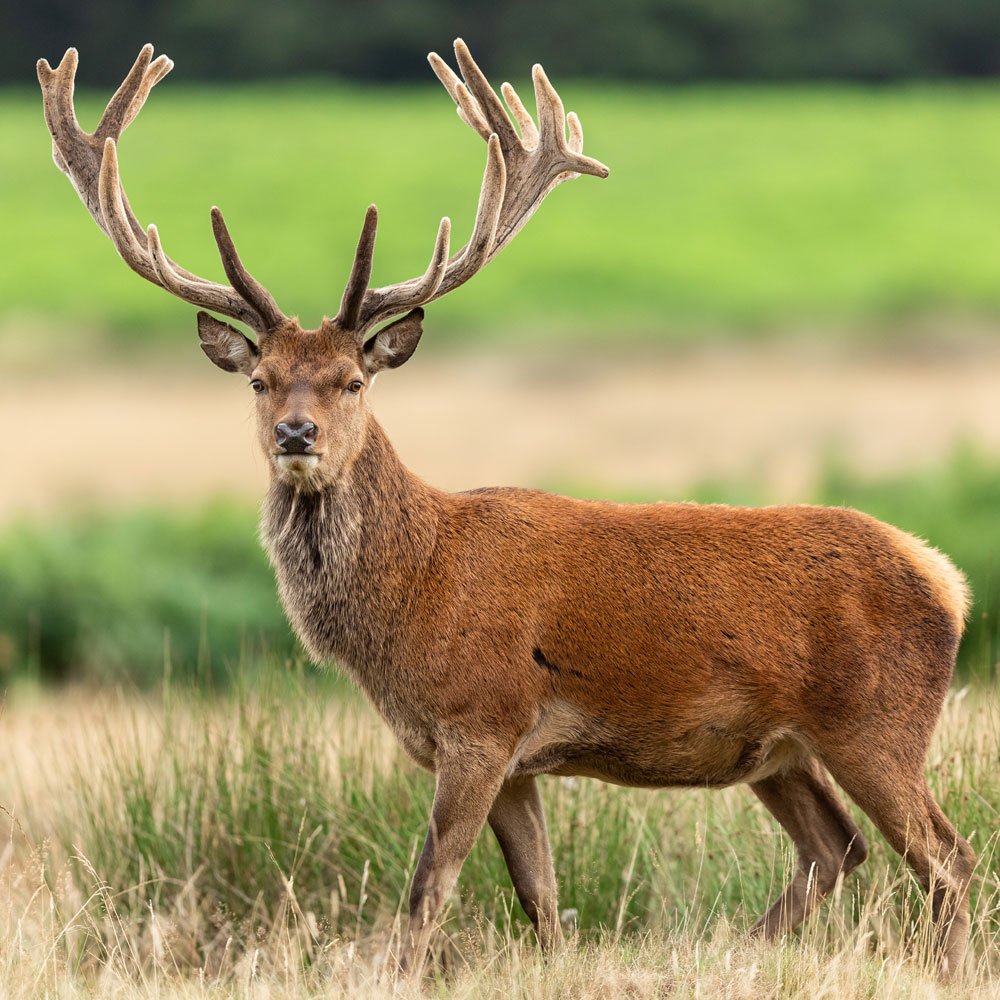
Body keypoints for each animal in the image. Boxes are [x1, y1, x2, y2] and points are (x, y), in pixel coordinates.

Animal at [38, 40, 976, 981]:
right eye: (260, 380)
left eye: (353, 379)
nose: (295, 435)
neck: (412, 595)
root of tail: (947, 578)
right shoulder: (513, 758)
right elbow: (540, 898)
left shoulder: (483, 719)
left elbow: (429, 889)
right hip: (778, 750)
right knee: (837, 847)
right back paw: (732, 952)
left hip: (877, 721)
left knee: (946, 854)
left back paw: (942, 966)